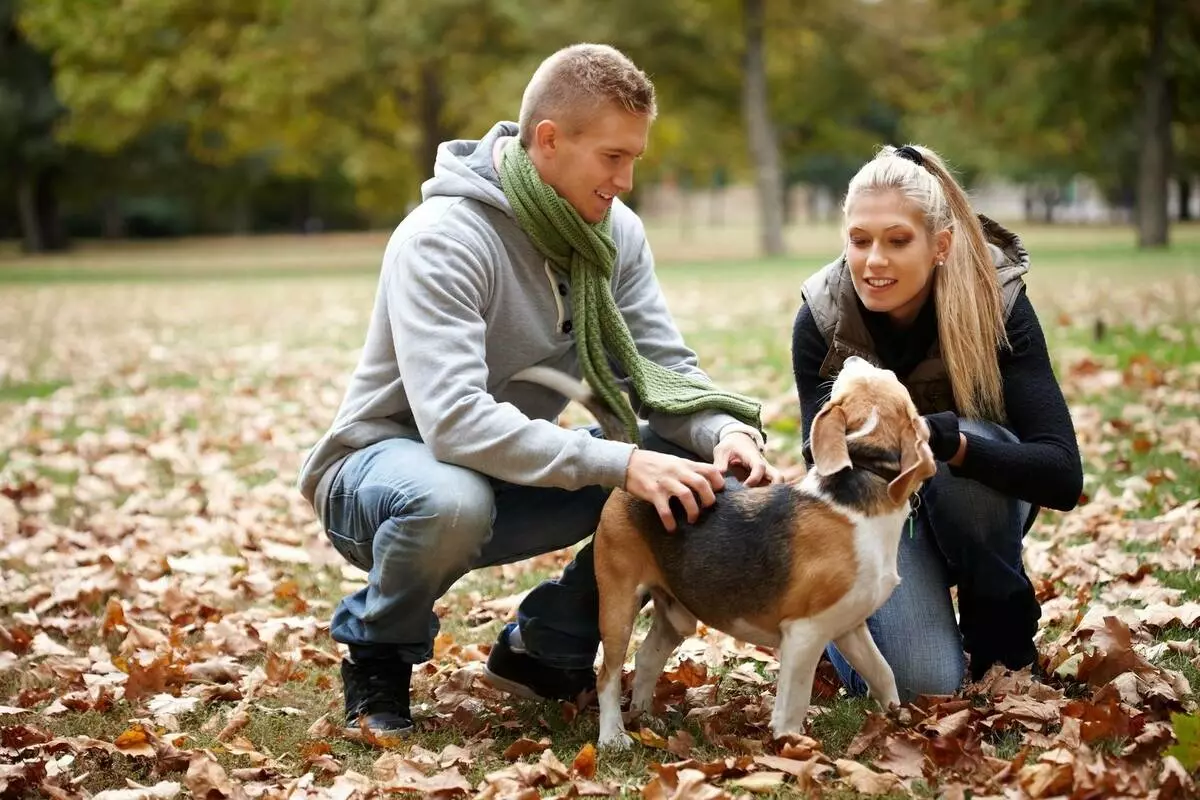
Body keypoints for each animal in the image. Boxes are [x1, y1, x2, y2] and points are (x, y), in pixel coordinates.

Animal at [511, 355, 931, 743]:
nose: (851, 358)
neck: (861, 487)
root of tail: (633, 467)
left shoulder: (850, 626)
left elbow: (883, 673)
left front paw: (898, 719)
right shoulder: (805, 632)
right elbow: (793, 704)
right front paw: (792, 746)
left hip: (676, 613)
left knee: (646, 659)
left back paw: (645, 719)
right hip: (618, 603)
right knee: (608, 674)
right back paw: (613, 736)